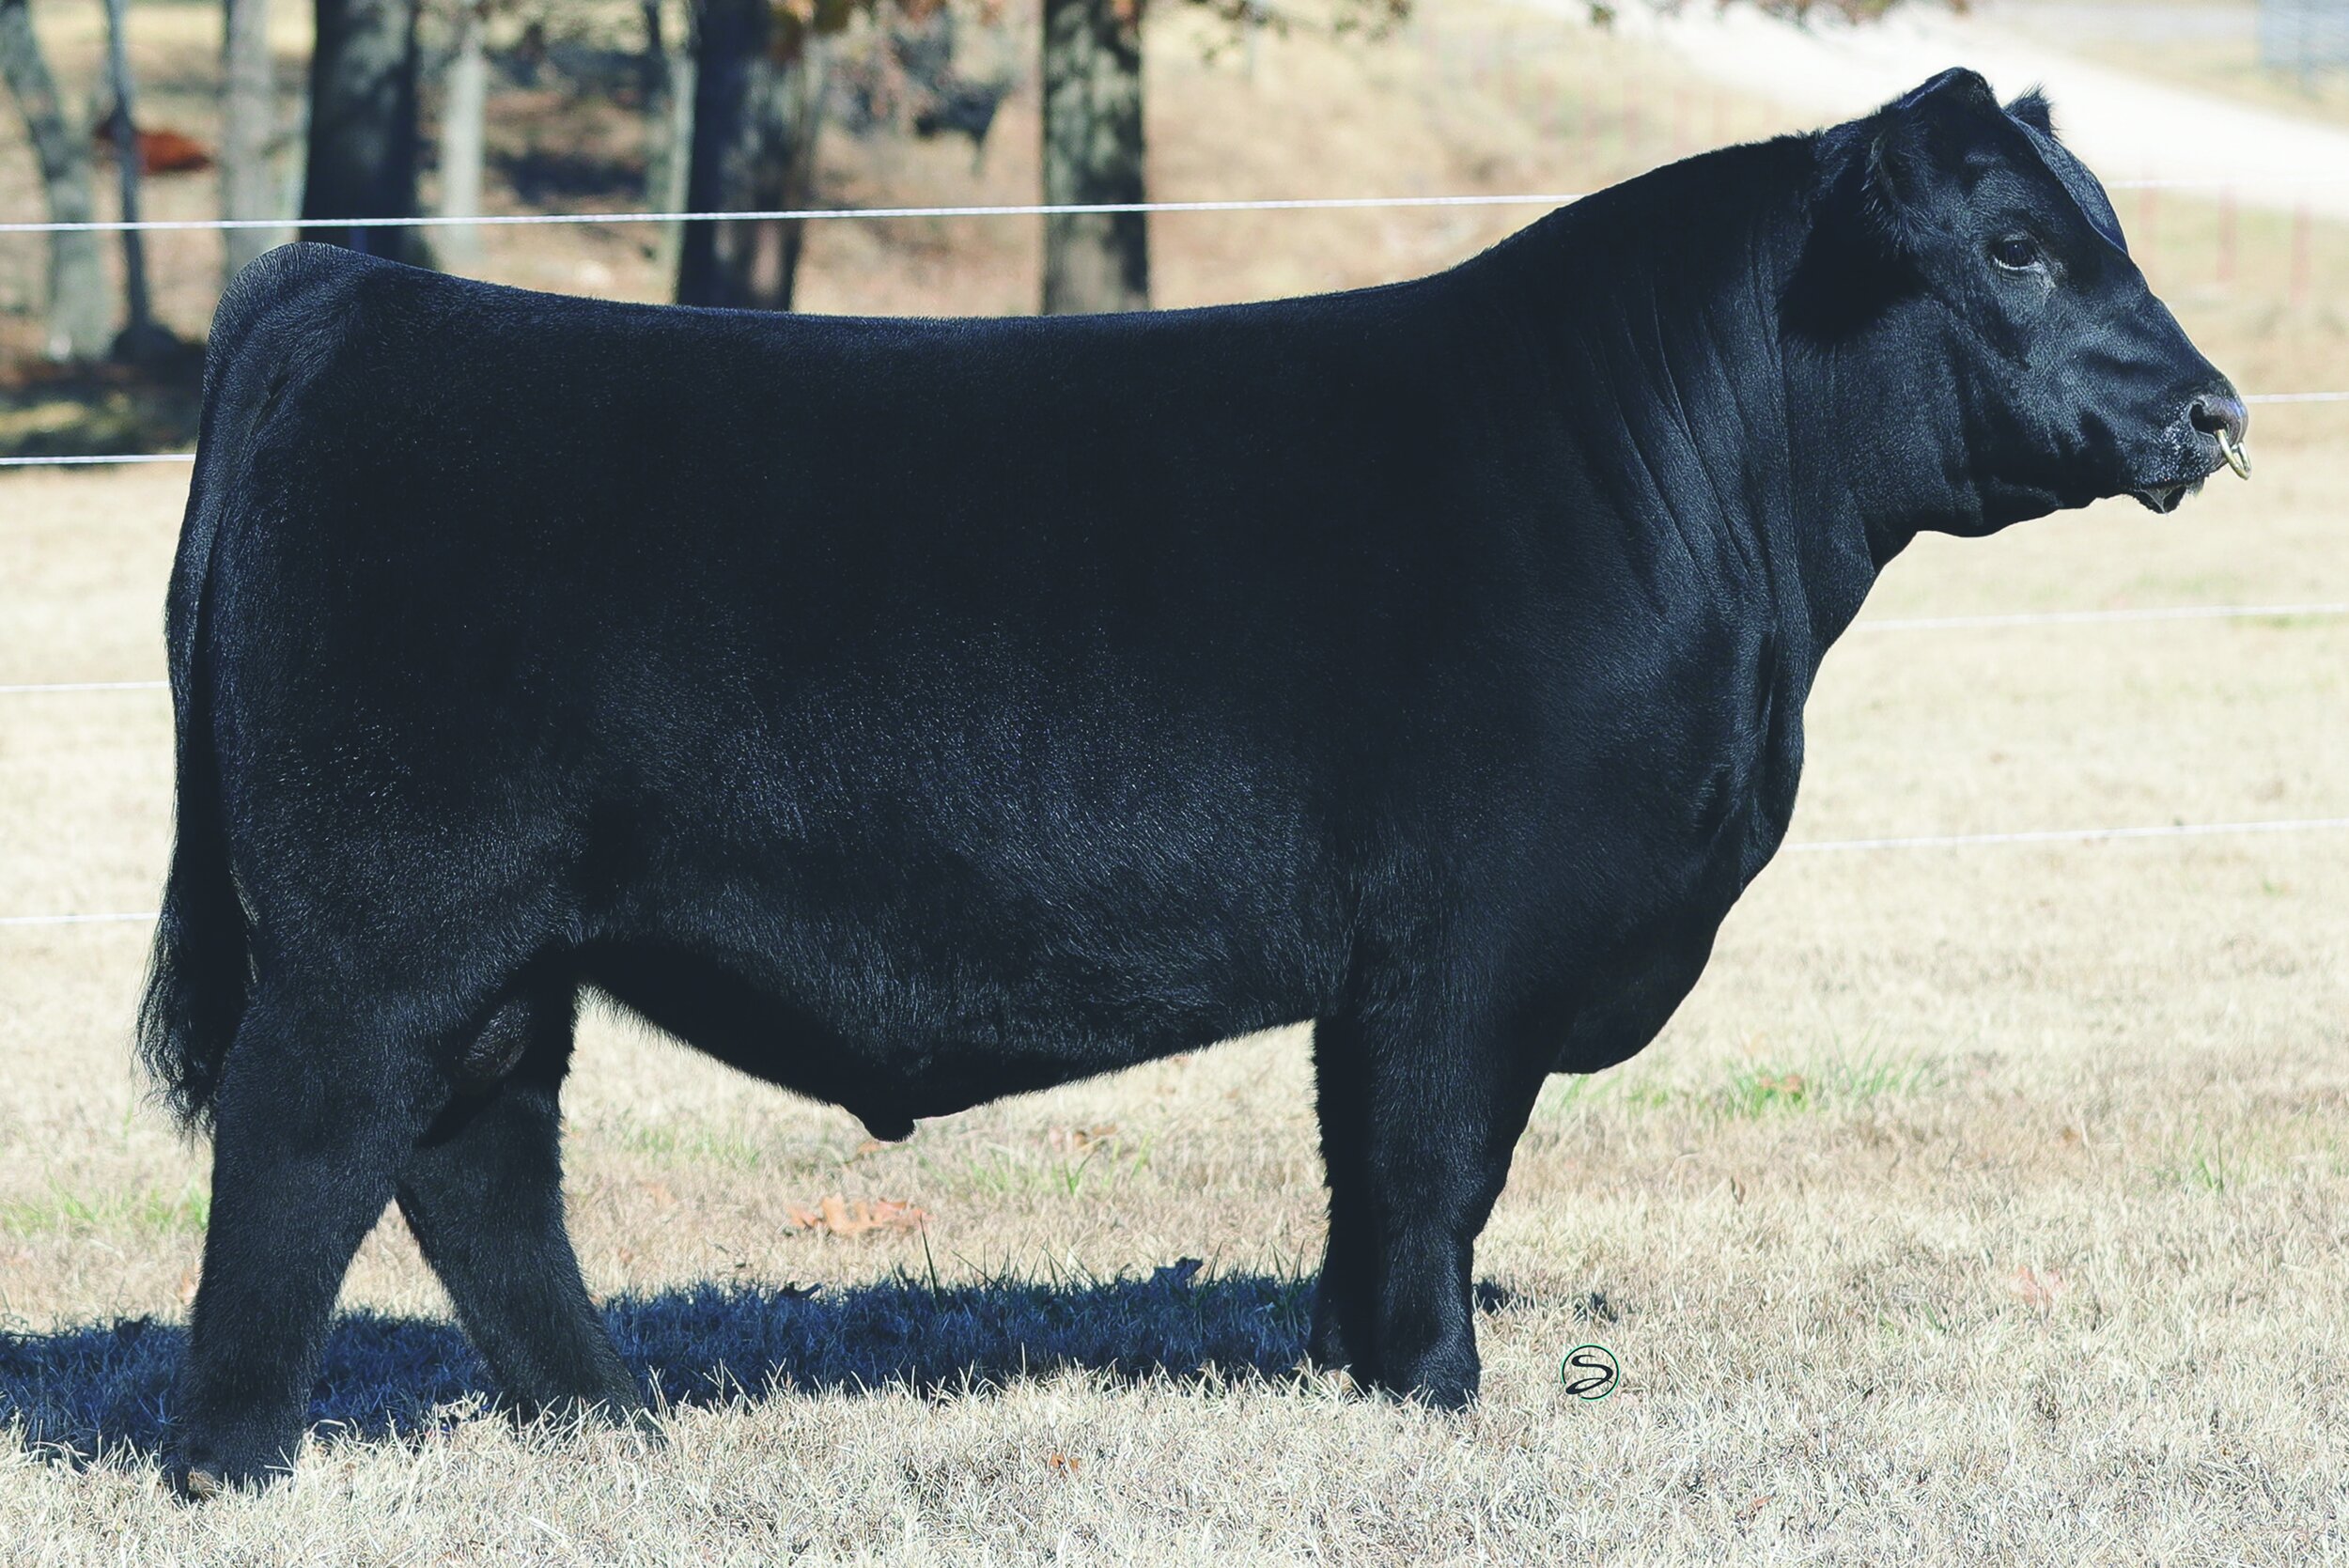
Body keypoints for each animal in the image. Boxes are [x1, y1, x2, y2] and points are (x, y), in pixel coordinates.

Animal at [140, 68, 2244, 1494]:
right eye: (2014, 244)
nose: (2211, 411)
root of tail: (356, 299)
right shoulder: (1469, 939)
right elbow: (1431, 1163)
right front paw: (1431, 1387)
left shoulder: (1392, 964)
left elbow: (1362, 1171)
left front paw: (1342, 1369)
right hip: (383, 928)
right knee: (308, 1140)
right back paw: (236, 1460)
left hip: (505, 946)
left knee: (478, 1154)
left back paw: (609, 1420)